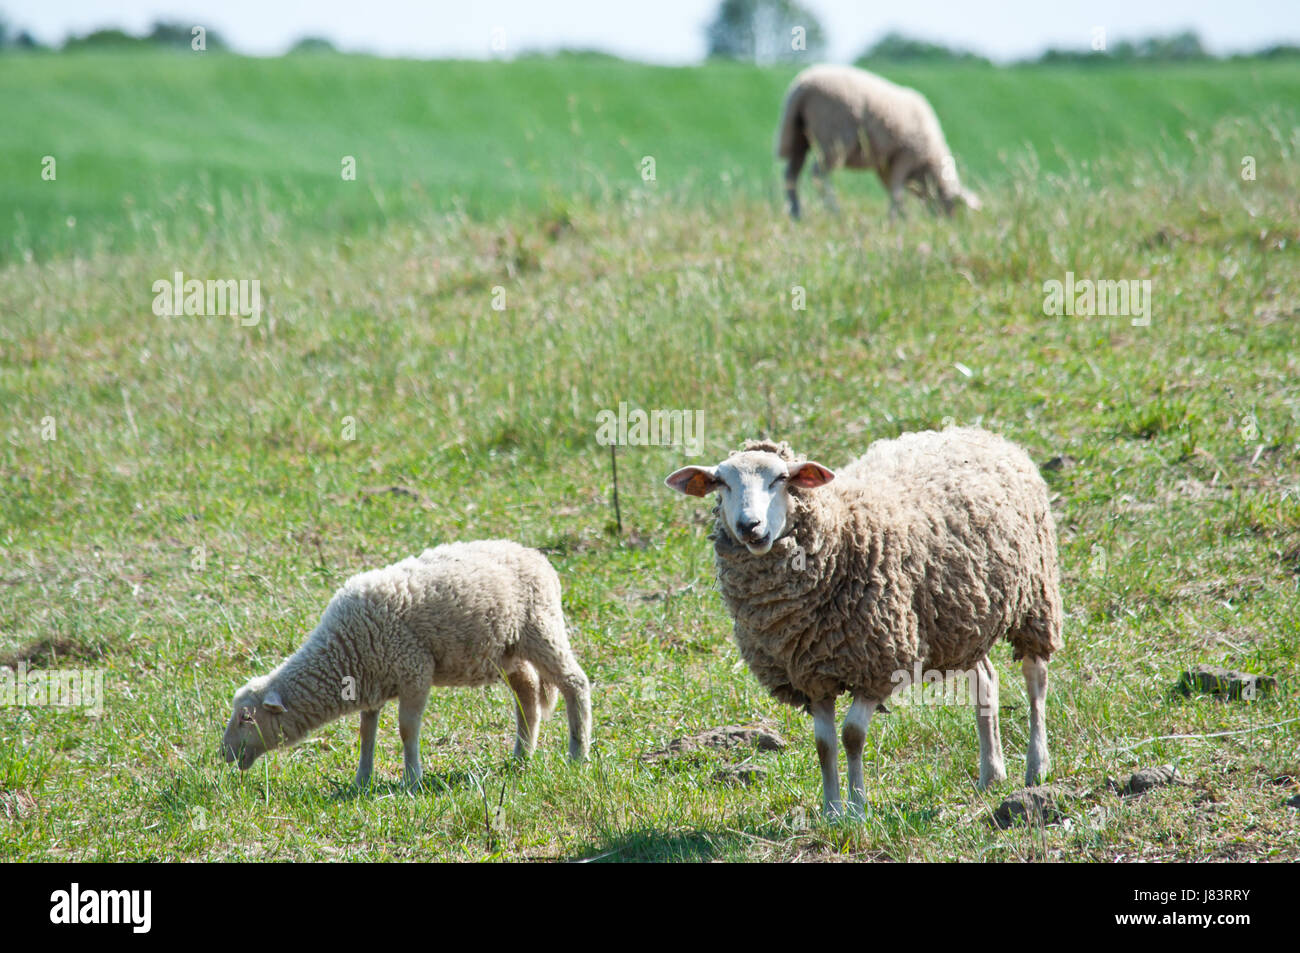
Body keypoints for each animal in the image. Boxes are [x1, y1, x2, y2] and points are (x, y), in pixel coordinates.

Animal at [221, 540, 592, 788]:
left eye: (245, 718)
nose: (223, 754)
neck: (343, 649)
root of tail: (535, 555)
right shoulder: (370, 683)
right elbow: (366, 733)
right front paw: (362, 779)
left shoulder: (414, 671)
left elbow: (406, 729)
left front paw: (412, 779)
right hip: (507, 650)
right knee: (527, 694)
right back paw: (520, 757)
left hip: (542, 627)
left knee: (575, 684)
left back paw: (578, 754)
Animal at [666, 428, 1062, 819]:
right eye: (721, 483)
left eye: (780, 479)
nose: (749, 526)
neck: (838, 528)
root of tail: (978, 432)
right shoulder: (811, 674)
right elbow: (823, 744)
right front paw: (831, 811)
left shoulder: (876, 663)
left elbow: (852, 736)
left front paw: (856, 810)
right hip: (961, 618)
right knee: (986, 680)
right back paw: (991, 774)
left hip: (1035, 595)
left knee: (1036, 679)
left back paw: (1037, 767)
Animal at [776, 63, 982, 220]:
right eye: (952, 206)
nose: (946, 223)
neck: (928, 165)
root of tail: (802, 86)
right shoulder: (905, 155)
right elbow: (897, 192)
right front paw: (897, 219)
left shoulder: (884, 165)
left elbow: (891, 189)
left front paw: (900, 216)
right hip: (834, 138)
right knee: (818, 174)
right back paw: (834, 211)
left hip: (798, 137)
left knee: (791, 175)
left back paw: (796, 213)